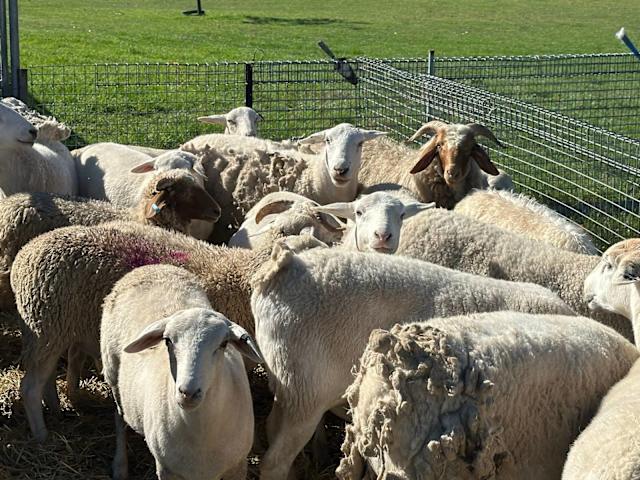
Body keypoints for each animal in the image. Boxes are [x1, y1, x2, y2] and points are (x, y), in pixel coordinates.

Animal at [11, 220, 319, 441]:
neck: (241, 281)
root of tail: (23, 257)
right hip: (45, 326)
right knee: (30, 386)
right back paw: (42, 435)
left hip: (53, 330)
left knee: (47, 377)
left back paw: (57, 410)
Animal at [102, 264, 262, 480]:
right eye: (167, 340)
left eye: (224, 344)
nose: (188, 393)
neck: (200, 430)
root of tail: (153, 267)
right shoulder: (166, 469)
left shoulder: (237, 466)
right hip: (112, 373)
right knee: (119, 418)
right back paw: (120, 466)